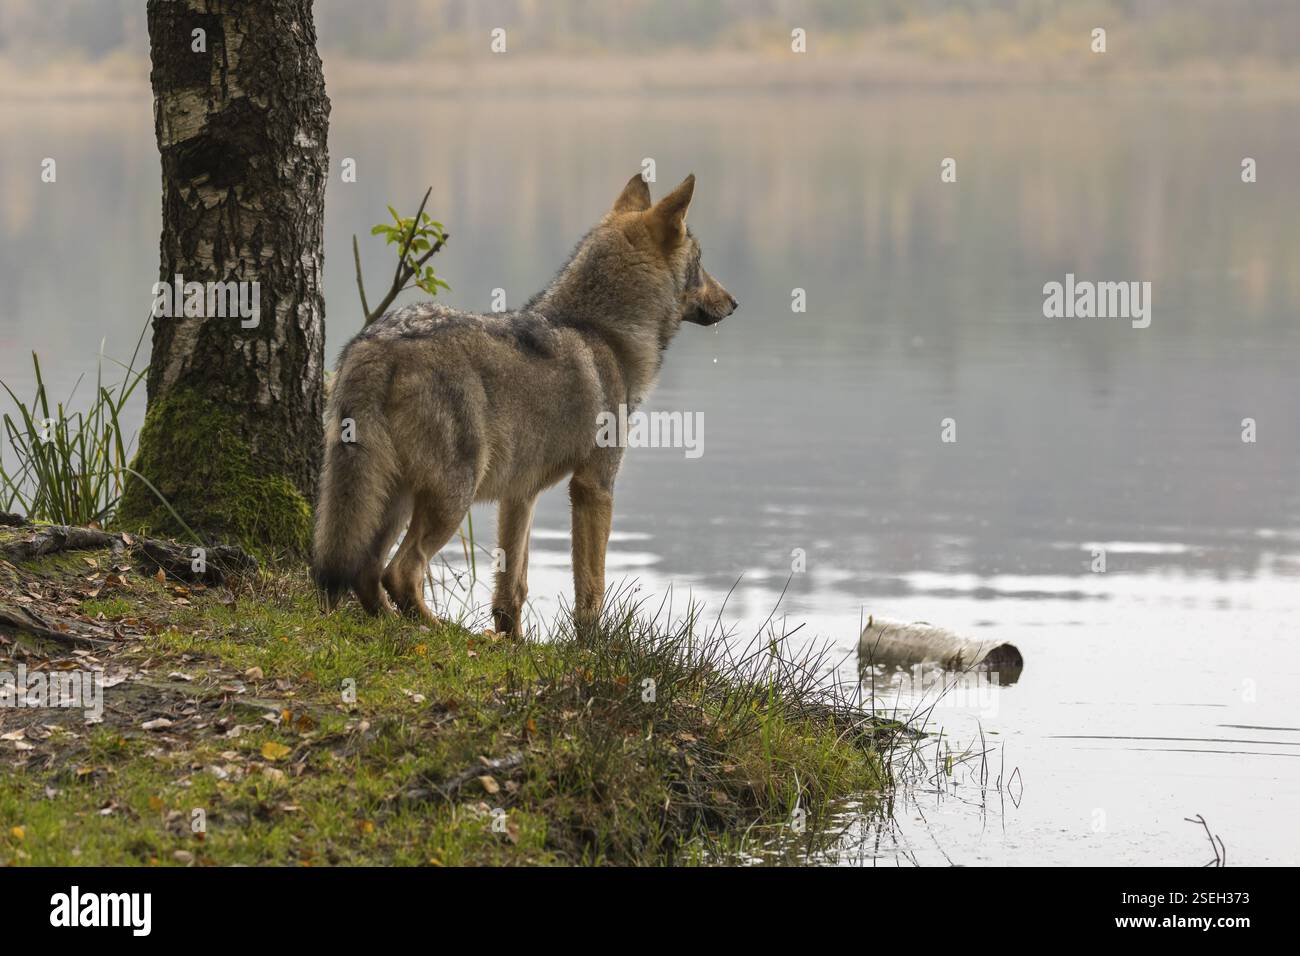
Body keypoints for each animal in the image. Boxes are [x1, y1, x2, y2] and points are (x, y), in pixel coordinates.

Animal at [312, 172, 737, 634]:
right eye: (700, 262)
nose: (735, 303)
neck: (603, 332)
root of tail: (377, 343)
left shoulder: (520, 494)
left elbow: (512, 588)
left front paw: (511, 639)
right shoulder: (594, 486)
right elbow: (591, 588)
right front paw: (590, 643)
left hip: (396, 495)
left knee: (367, 572)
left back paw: (396, 625)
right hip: (451, 497)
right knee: (401, 572)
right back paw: (444, 632)